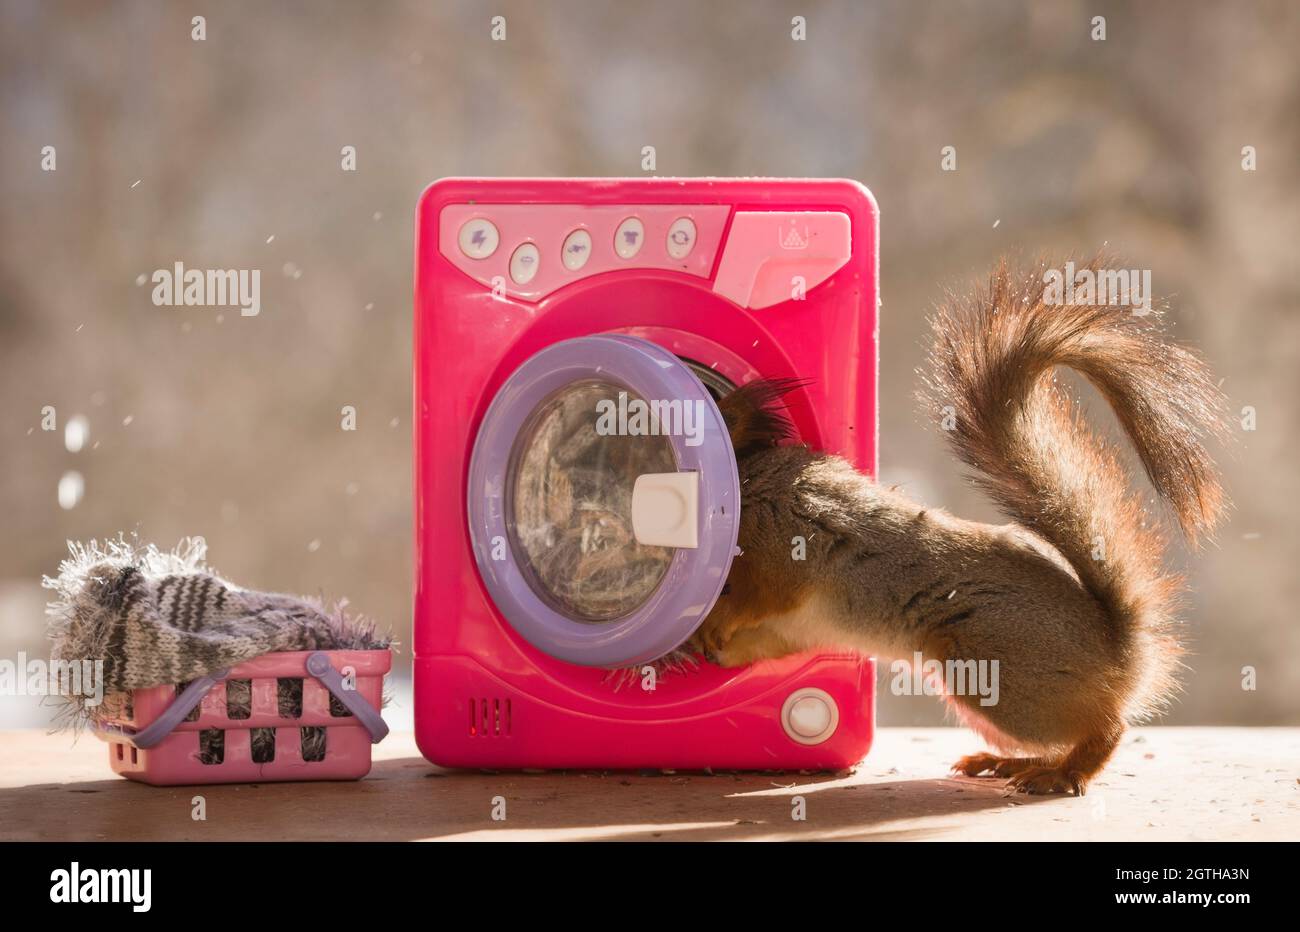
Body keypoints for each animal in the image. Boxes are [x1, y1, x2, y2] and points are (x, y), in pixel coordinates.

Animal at [687, 257, 1230, 795]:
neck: (745, 484)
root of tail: (1120, 652)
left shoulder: (784, 544)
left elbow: (761, 597)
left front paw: (714, 624)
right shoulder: (790, 629)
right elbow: (765, 643)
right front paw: (705, 646)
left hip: (998, 675)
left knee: (1104, 728)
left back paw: (1062, 772)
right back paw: (1008, 763)